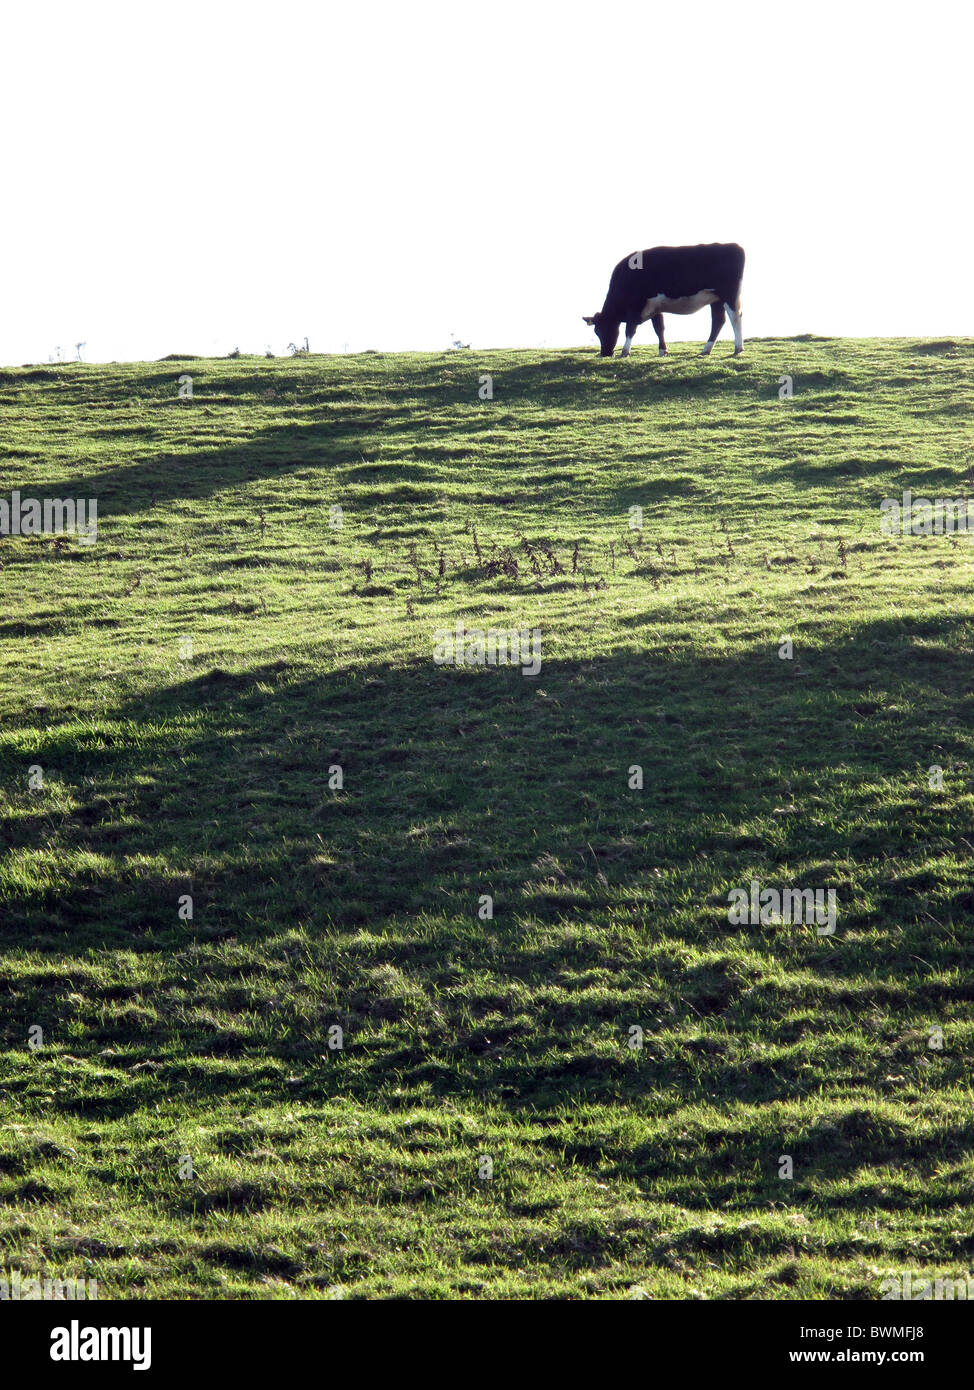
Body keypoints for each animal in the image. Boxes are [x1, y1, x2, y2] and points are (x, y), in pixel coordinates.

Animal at [583, 243, 745, 359]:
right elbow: (659, 328)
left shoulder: (636, 307)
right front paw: (663, 351)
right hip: (716, 299)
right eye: (596, 331)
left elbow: (630, 329)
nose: (605, 353)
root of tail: (734, 246)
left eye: (601, 330)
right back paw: (706, 349)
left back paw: (738, 348)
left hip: (729, 294)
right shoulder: (655, 307)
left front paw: (625, 351)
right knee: (718, 321)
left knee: (735, 317)